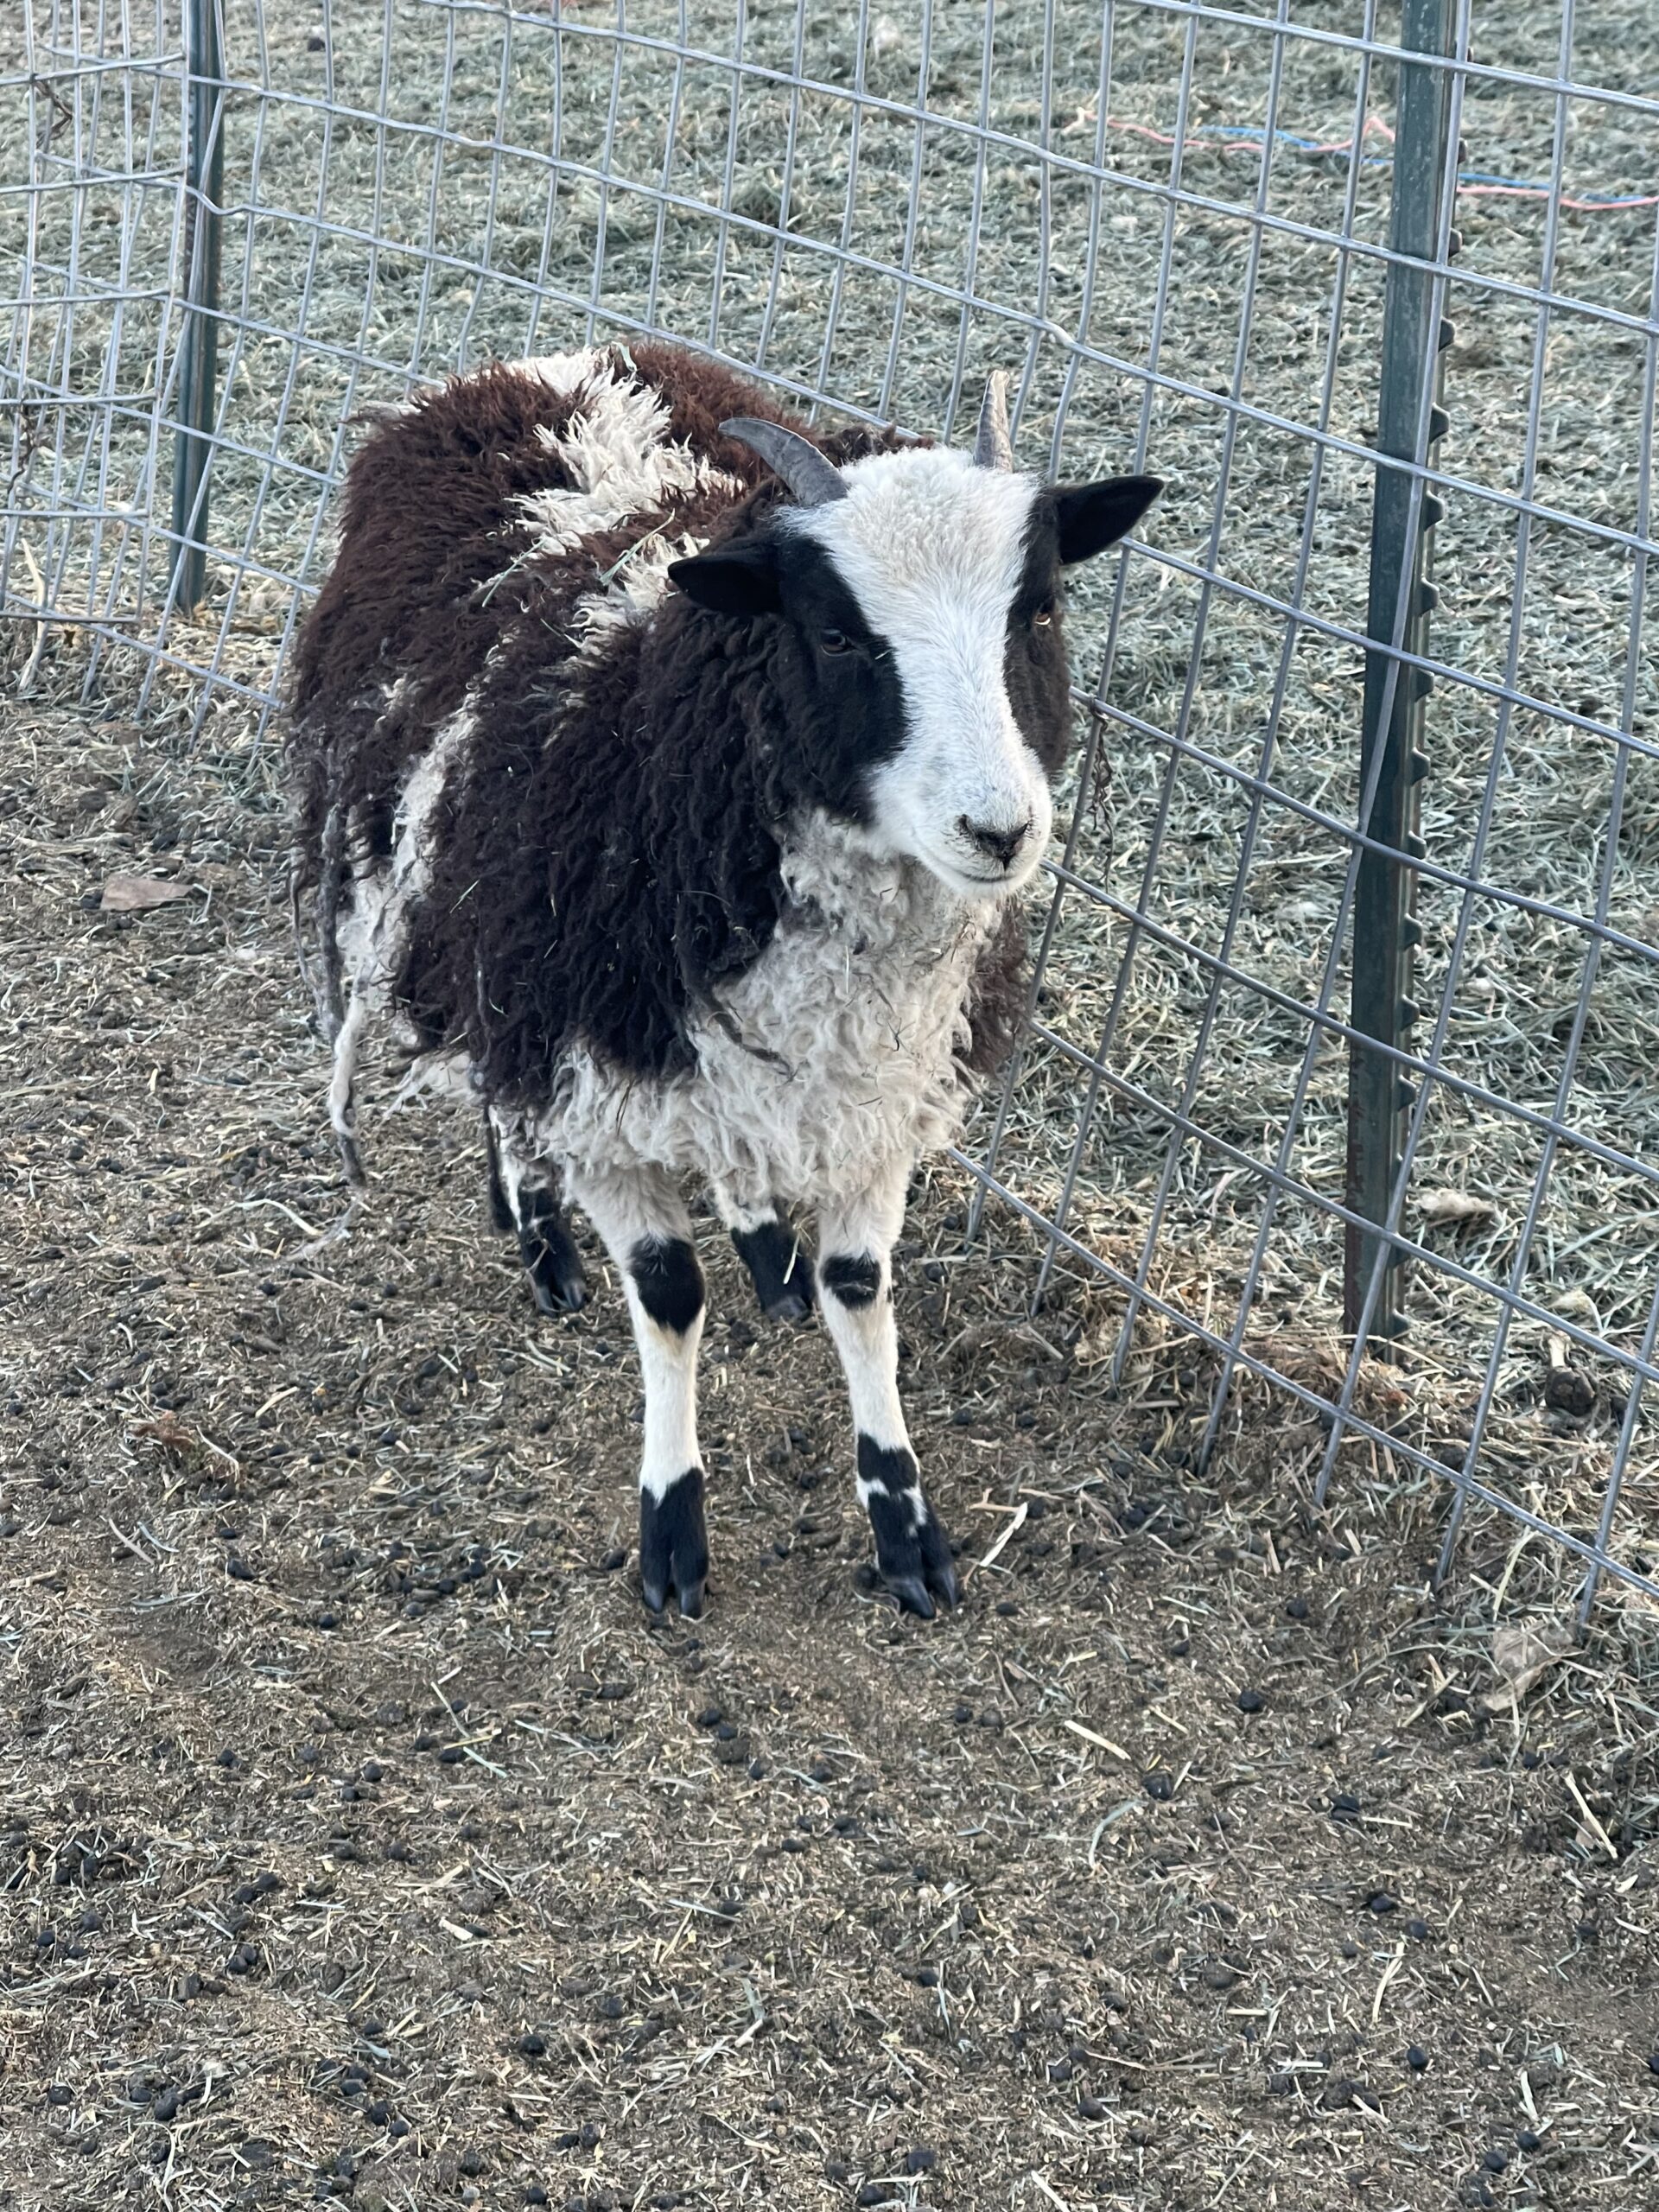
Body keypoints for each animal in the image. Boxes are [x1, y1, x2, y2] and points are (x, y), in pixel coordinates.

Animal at [287, 341, 1159, 1620]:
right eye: (838, 635)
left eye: (1037, 606)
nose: (999, 830)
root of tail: (543, 362)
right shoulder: (593, 1065)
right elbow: (667, 1296)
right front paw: (672, 1526)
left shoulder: (879, 1087)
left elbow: (860, 1287)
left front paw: (905, 1524)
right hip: (476, 908)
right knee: (504, 1070)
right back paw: (537, 1228)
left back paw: (760, 1248)